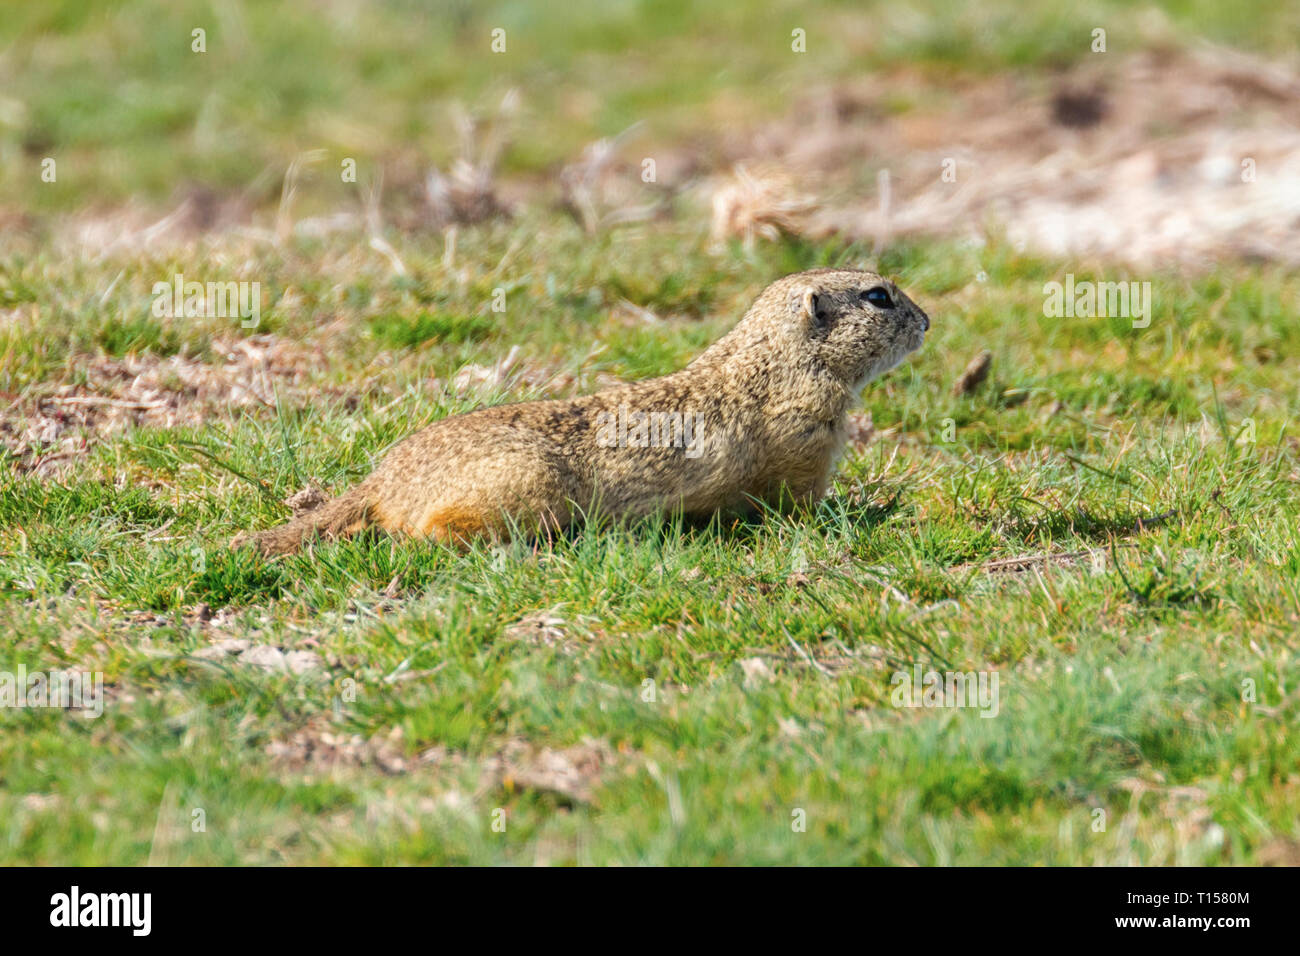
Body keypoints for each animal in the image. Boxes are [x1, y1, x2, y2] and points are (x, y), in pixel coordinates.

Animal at [235, 268, 929, 556]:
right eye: (877, 296)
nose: (927, 321)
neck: (780, 362)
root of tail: (381, 484)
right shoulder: (803, 445)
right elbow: (798, 503)